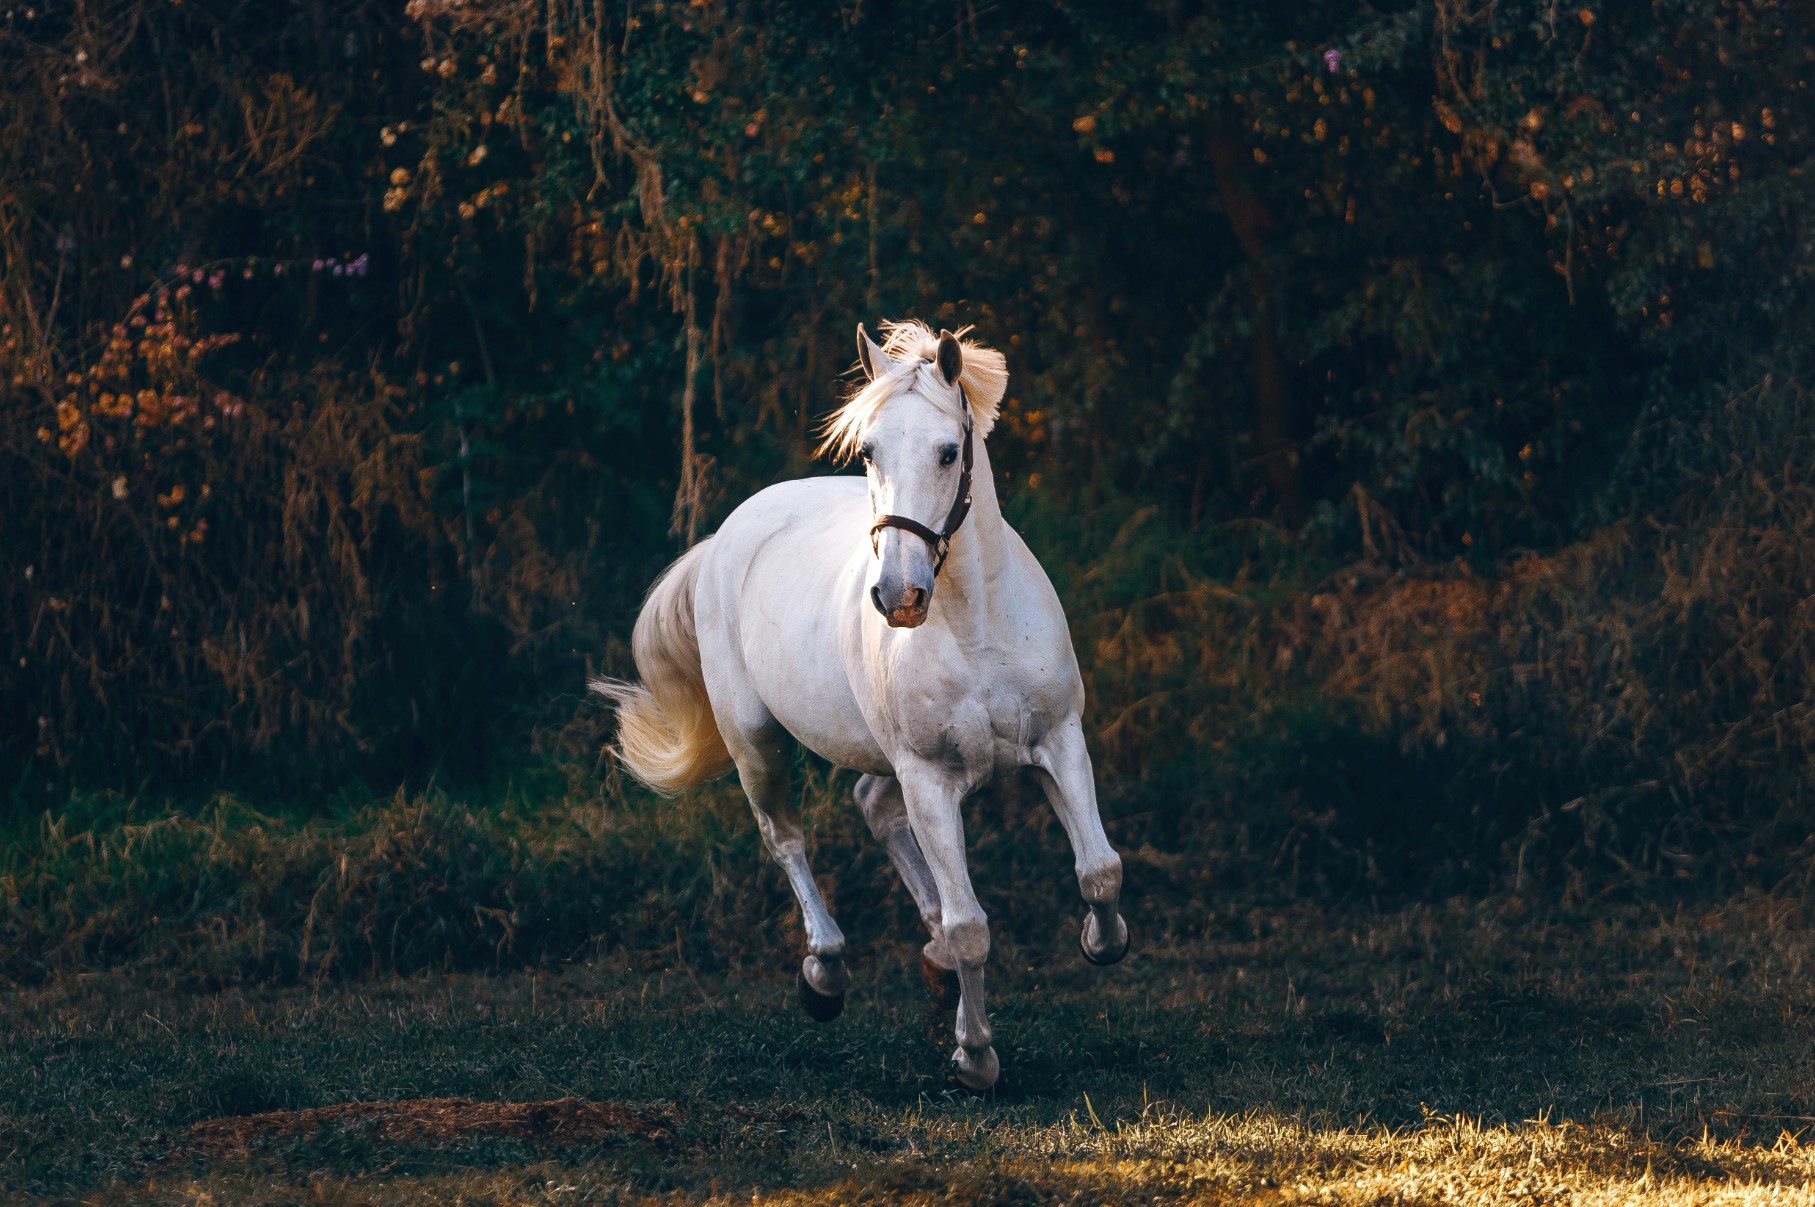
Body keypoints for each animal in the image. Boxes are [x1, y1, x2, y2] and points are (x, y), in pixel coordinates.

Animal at [592, 320, 1127, 1090]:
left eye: (949, 451)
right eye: (869, 450)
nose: (897, 596)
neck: (976, 625)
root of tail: (728, 534)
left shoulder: (1058, 742)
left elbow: (1099, 871)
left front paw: (1095, 940)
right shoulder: (929, 777)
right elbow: (971, 925)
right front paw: (975, 1056)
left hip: (882, 757)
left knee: (872, 805)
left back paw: (929, 960)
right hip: (755, 741)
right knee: (786, 838)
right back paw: (825, 974)